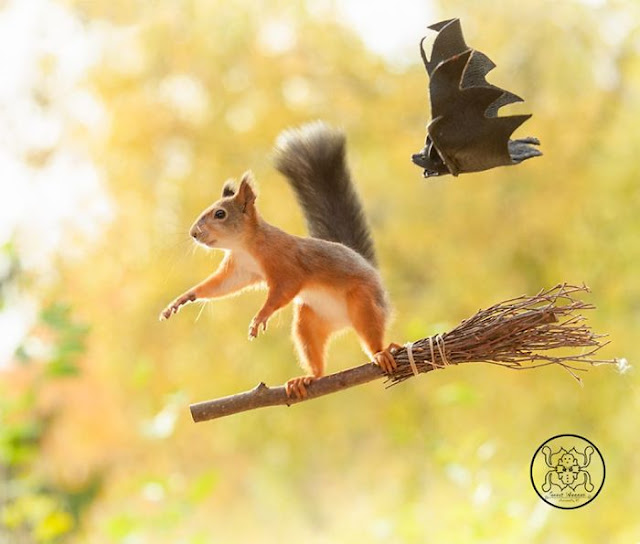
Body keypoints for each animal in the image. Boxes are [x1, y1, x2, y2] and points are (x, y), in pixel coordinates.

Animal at [160, 121, 398, 399]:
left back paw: (381, 353)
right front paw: (184, 298)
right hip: (308, 322)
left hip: (364, 302)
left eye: (220, 214)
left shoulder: (284, 261)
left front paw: (260, 316)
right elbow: (220, 286)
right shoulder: (240, 269)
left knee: (372, 334)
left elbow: (283, 289)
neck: (246, 246)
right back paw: (307, 378)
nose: (193, 234)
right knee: (316, 359)